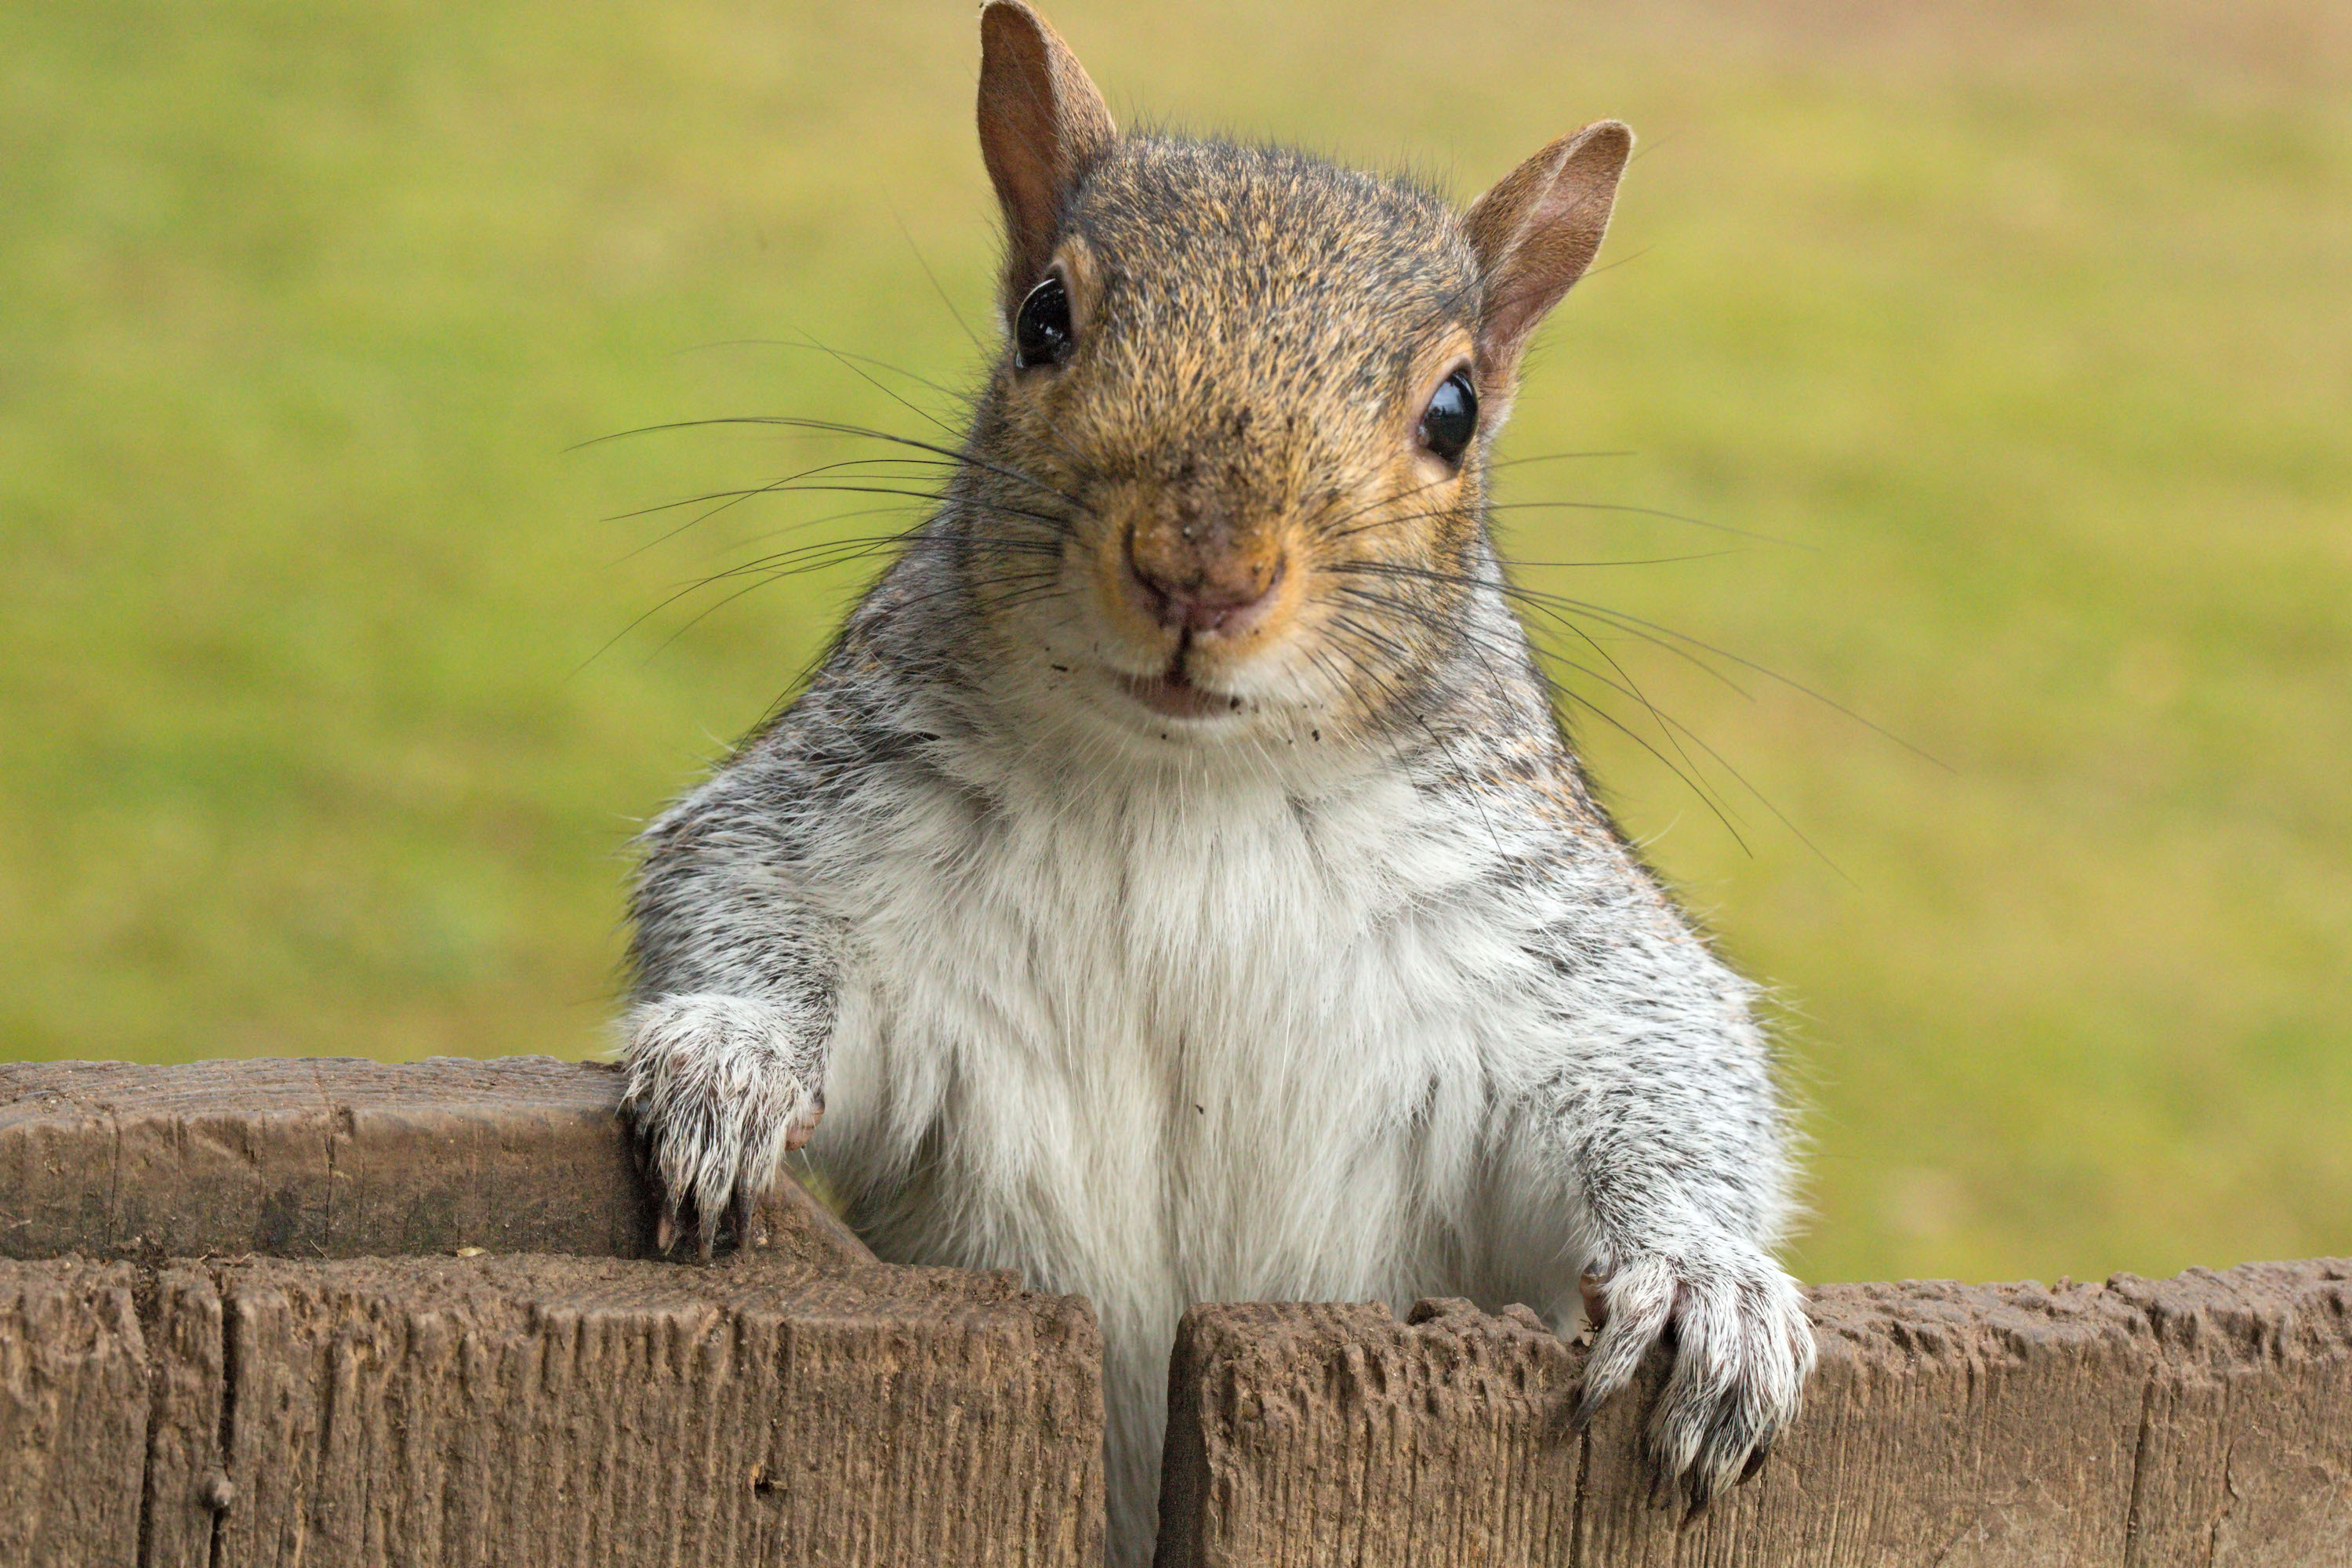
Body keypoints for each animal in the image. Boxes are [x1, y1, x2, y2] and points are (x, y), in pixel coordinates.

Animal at [620, 3, 1815, 1560]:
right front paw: (728, 1068)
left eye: (1454, 408)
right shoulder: (828, 825)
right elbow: (733, 890)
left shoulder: (1531, 932)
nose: (1202, 568)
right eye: (1043, 320)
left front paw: (1702, 1287)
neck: (1186, 789)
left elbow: (1660, 1049)